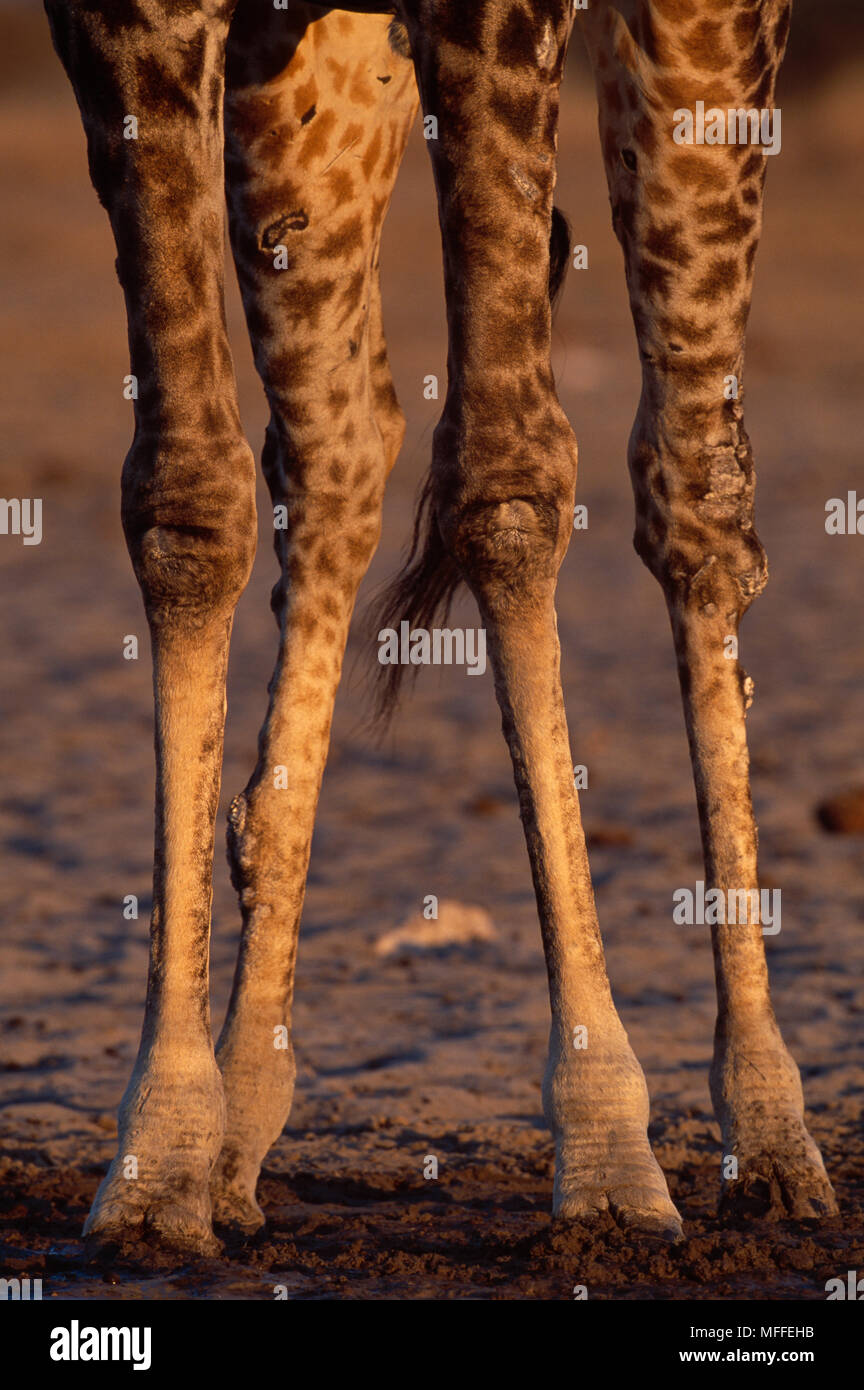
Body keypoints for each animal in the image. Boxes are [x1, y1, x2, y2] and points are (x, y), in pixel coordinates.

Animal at [42, 0, 837, 1255]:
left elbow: (509, 482)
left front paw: (606, 1162)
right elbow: (186, 498)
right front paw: (157, 1162)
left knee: (694, 479)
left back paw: (769, 1134)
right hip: (316, 69)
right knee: (340, 442)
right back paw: (239, 1126)